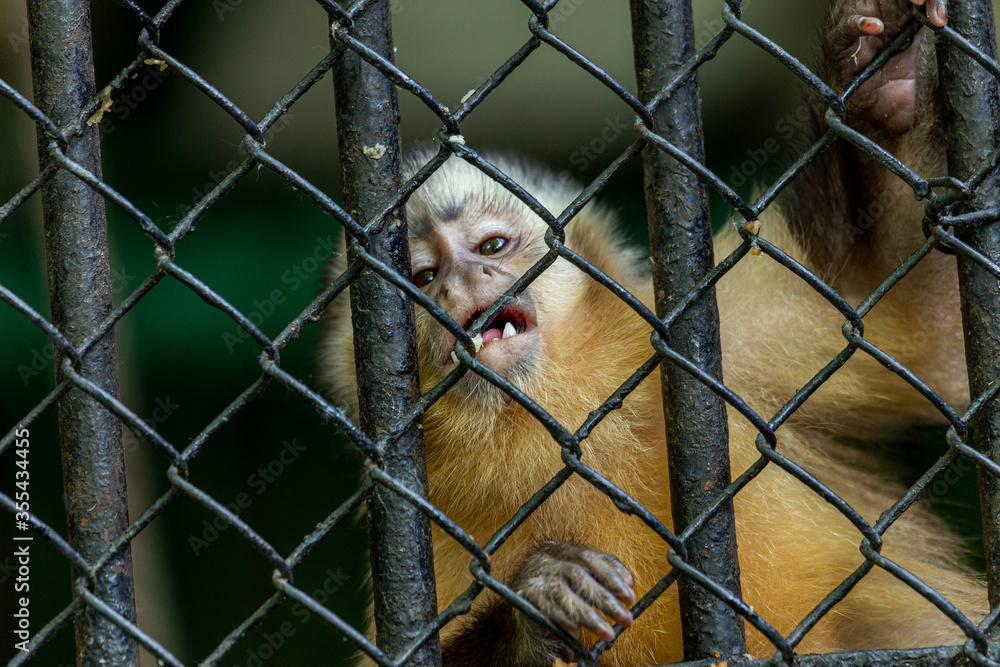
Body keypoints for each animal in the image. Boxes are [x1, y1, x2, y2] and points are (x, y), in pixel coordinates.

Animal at [320, 0, 989, 663]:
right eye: (425, 276)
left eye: (491, 247)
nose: (458, 284)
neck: (557, 412)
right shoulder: (414, 510)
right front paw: (541, 601)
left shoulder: (724, 336)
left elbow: (911, 323)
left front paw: (875, 78)